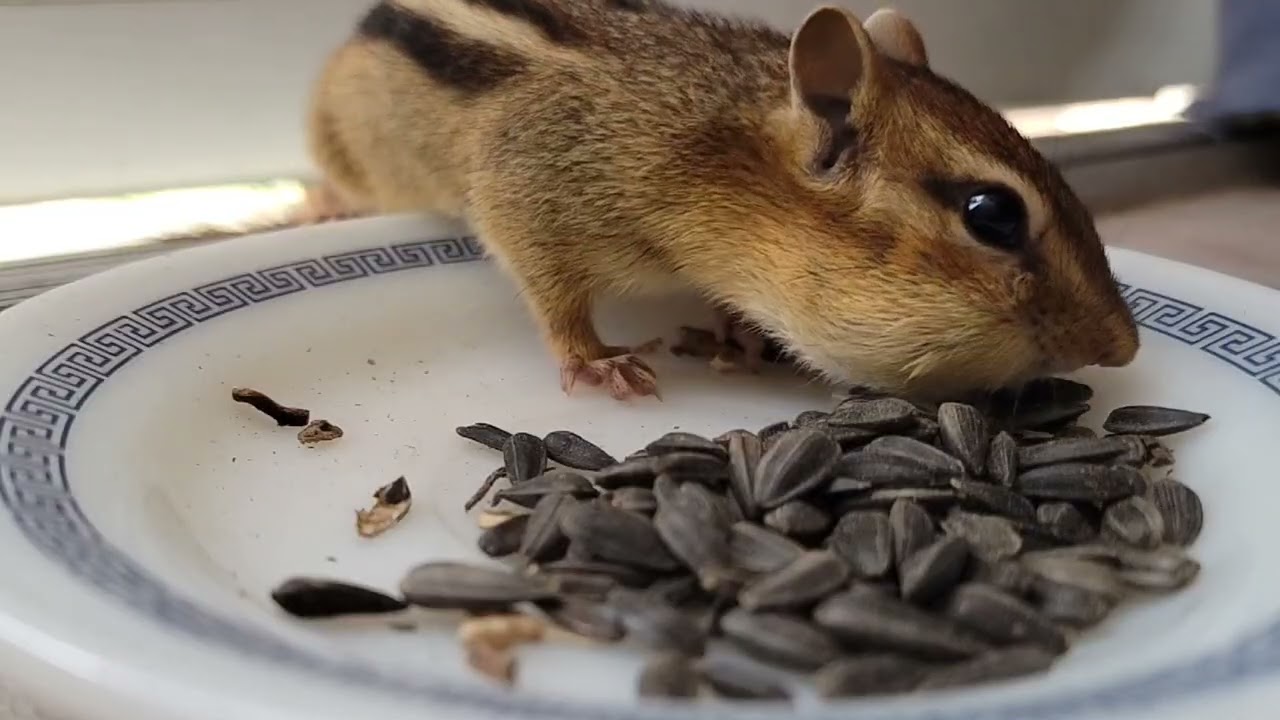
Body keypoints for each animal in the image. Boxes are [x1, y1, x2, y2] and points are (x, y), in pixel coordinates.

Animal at [303, 0, 1140, 402]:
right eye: (991, 214)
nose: (1123, 346)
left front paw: (737, 333)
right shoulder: (530, 183)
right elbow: (550, 292)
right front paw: (597, 362)